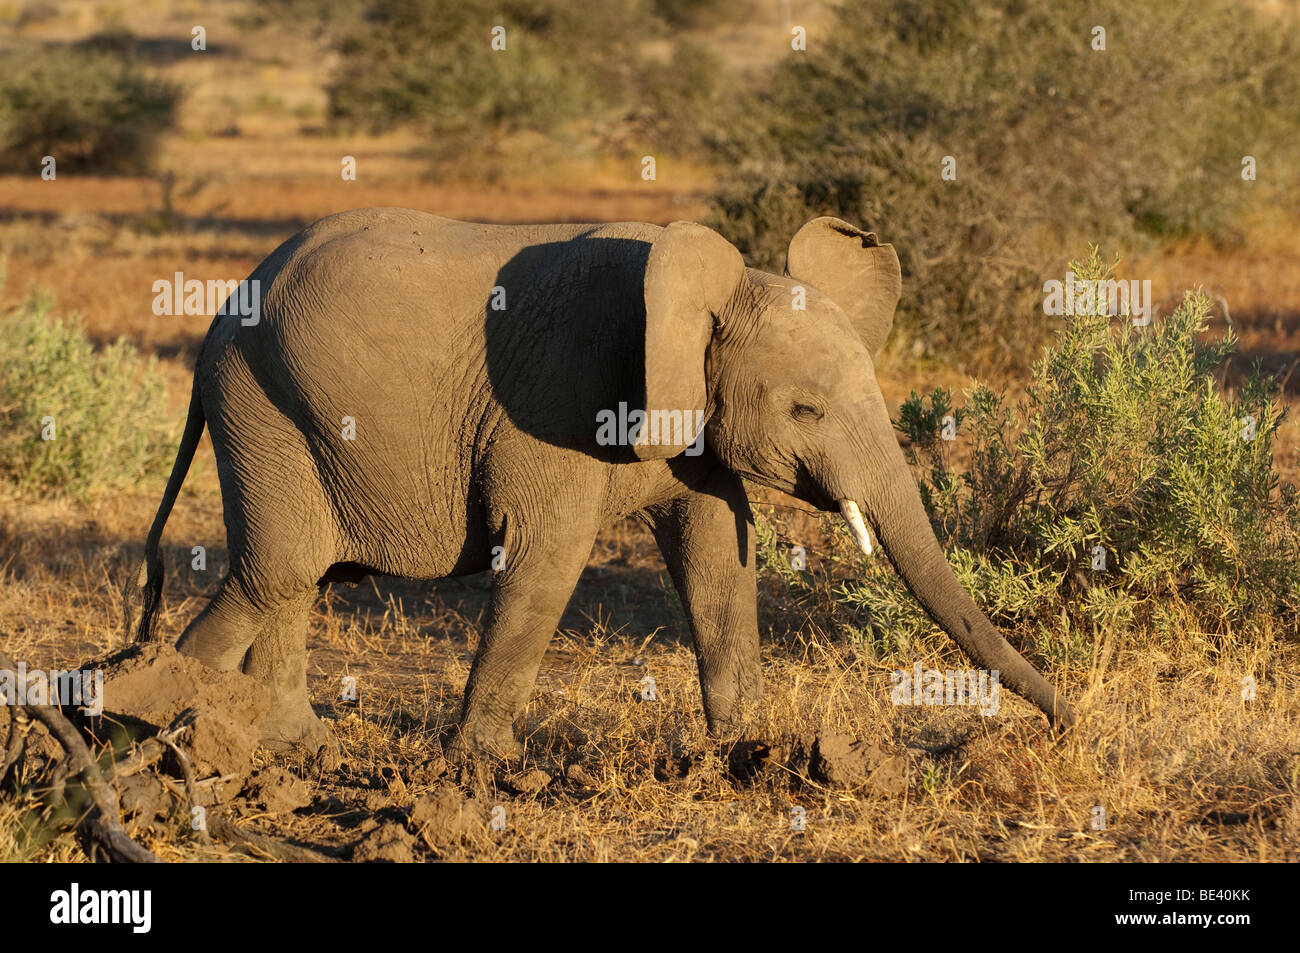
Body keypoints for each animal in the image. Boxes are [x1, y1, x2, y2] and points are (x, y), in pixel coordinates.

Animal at [125, 207, 1075, 758]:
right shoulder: (557, 395)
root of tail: (222, 309)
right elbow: (548, 555)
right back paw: (144, 713)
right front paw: (488, 770)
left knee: (295, 577)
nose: (1069, 725)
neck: (714, 287)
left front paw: (744, 749)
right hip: (263, 405)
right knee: (279, 570)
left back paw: (293, 743)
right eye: (804, 408)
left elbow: (716, 549)